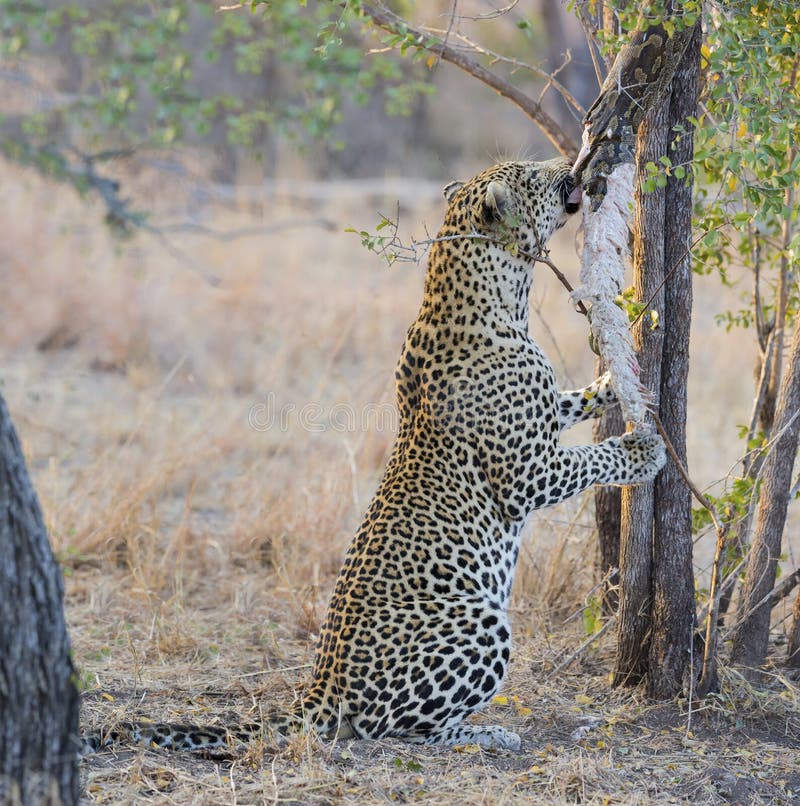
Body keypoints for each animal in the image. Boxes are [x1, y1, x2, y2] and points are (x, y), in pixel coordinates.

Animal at [81, 157, 665, 755]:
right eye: (530, 174)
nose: (570, 164)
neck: (499, 294)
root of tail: (318, 692)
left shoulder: (546, 411)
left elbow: (574, 400)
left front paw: (621, 377)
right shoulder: (525, 472)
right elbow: (588, 460)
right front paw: (643, 450)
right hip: (481, 626)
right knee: (393, 728)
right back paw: (487, 734)